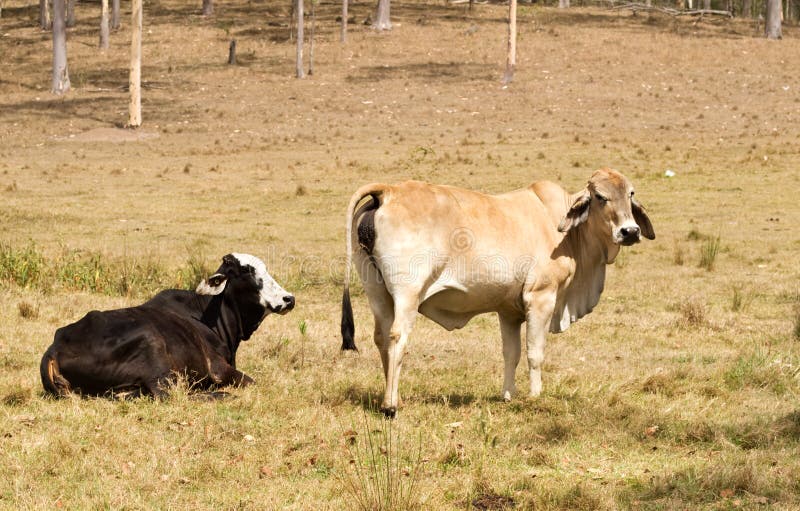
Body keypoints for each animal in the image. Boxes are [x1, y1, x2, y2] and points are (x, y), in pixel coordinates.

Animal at [40, 253, 295, 398]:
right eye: (246, 271)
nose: (289, 299)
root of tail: (54, 348)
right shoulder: (218, 368)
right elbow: (251, 382)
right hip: (152, 346)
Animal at [340, 168, 654, 417]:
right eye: (600, 196)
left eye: (630, 194)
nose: (630, 231)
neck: (564, 231)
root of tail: (388, 190)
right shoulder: (541, 298)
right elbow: (534, 353)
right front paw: (534, 396)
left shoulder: (509, 311)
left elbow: (510, 354)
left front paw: (508, 396)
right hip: (407, 292)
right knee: (397, 337)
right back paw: (390, 405)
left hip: (376, 291)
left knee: (381, 338)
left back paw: (395, 398)